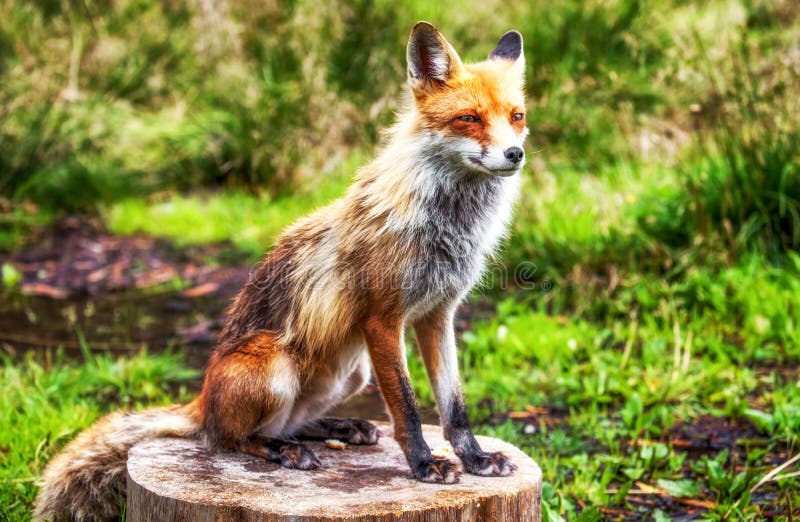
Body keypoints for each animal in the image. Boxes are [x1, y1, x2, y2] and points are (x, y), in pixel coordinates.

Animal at [33, 21, 528, 521]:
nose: (515, 153)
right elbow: (407, 409)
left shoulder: (437, 315)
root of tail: (201, 403)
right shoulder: (382, 319)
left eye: (517, 116)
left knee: (288, 423)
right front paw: (425, 465)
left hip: (352, 373)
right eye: (469, 118)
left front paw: (475, 458)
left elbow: (454, 407)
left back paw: (336, 429)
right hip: (277, 366)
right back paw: (281, 450)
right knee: (230, 440)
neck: (447, 224)